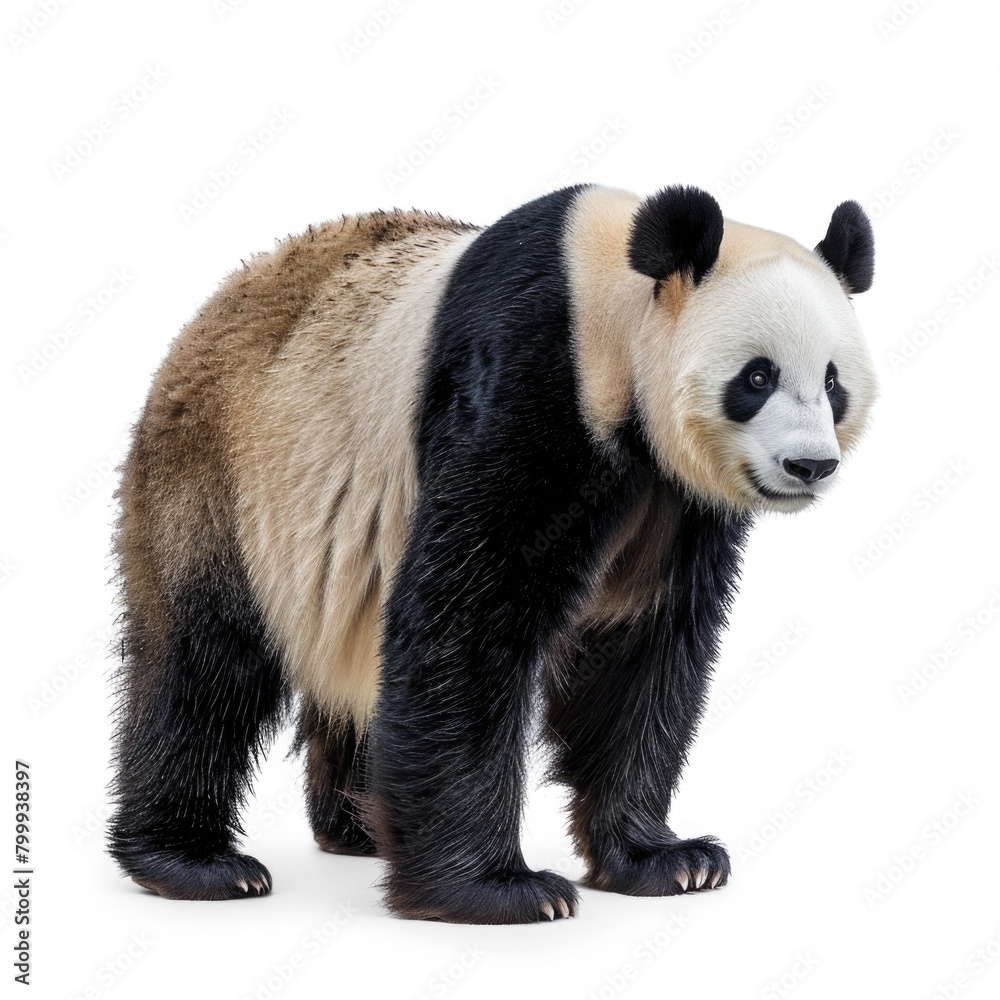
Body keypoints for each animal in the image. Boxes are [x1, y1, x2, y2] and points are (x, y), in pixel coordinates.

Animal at [108, 183, 876, 924]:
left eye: (833, 381)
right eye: (757, 377)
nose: (810, 466)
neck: (610, 303)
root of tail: (217, 301)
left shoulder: (672, 499)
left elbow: (639, 645)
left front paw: (667, 859)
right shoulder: (525, 380)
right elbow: (469, 615)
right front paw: (497, 890)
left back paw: (358, 823)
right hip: (225, 470)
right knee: (203, 663)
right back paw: (195, 863)